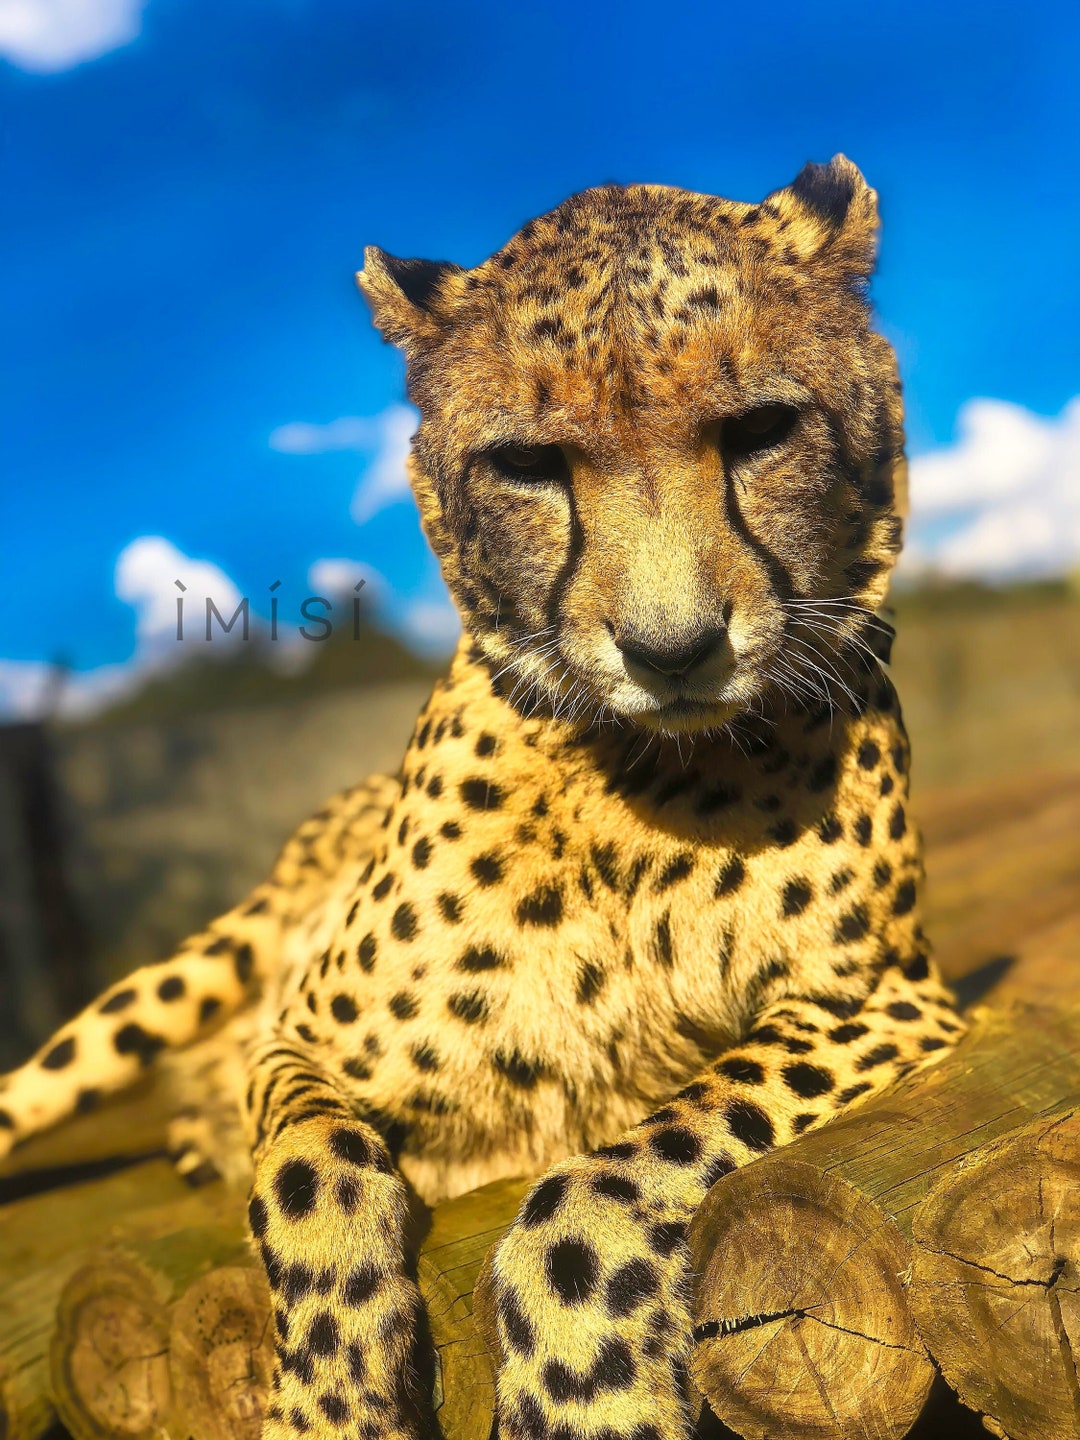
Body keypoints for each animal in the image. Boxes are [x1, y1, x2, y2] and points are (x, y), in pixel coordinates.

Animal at [0, 155, 965, 1440]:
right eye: (529, 465)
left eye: (760, 430)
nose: (673, 650)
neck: (634, 788)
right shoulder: (298, 1034)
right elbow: (312, 1165)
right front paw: (332, 1398)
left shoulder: (885, 1001)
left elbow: (632, 1156)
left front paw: (591, 1389)